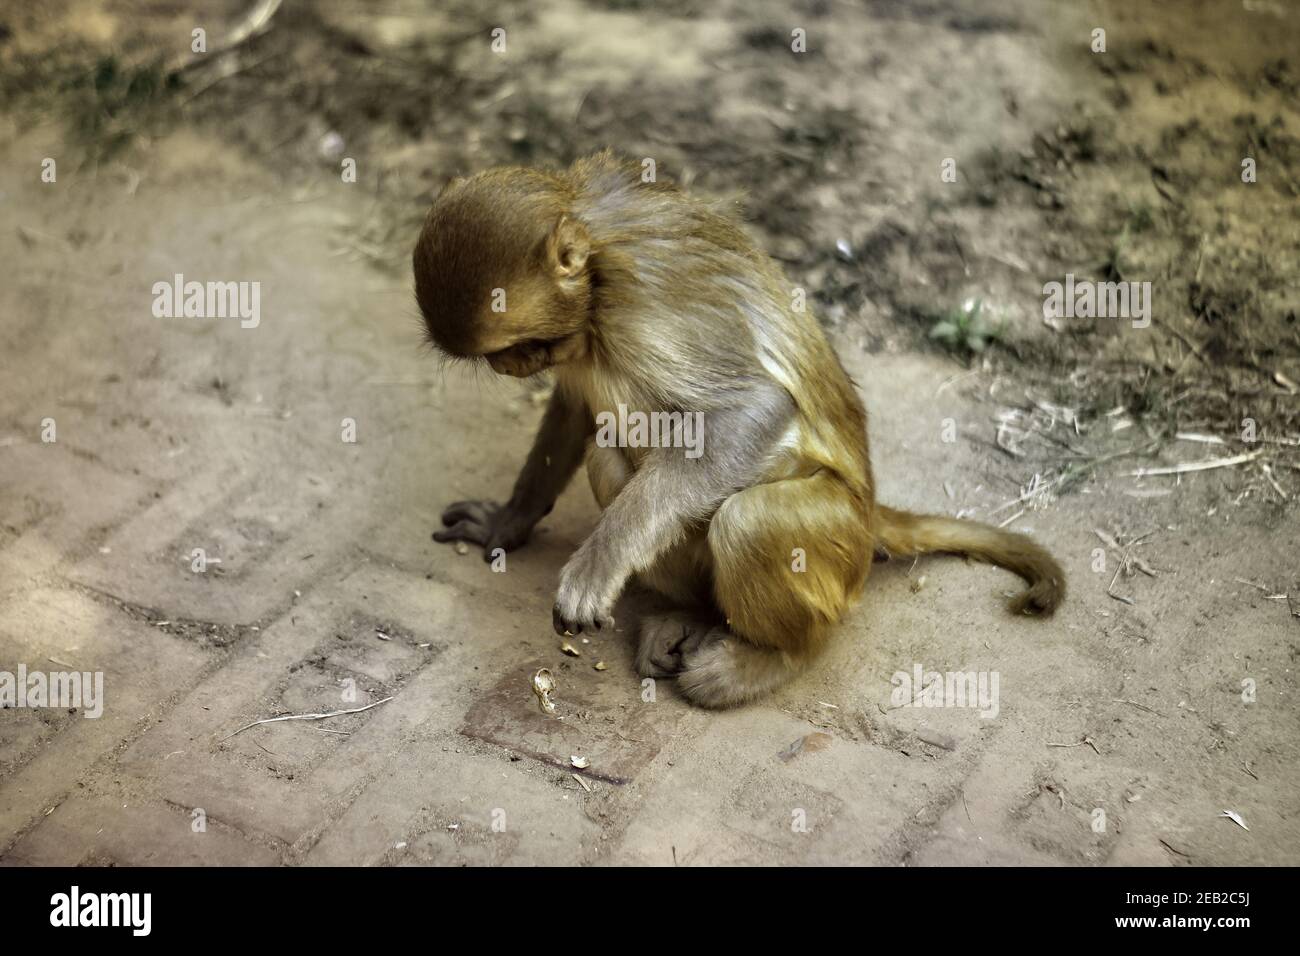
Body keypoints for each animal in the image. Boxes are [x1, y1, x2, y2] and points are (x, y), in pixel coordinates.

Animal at [414, 150, 1064, 708]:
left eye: (526, 345)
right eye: (504, 354)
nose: (511, 367)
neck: (597, 271)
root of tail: (870, 512)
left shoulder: (641, 309)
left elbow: (756, 409)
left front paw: (597, 565)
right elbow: (575, 408)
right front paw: (508, 522)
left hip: (840, 548)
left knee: (751, 519)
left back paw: (776, 657)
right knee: (611, 458)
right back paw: (695, 617)